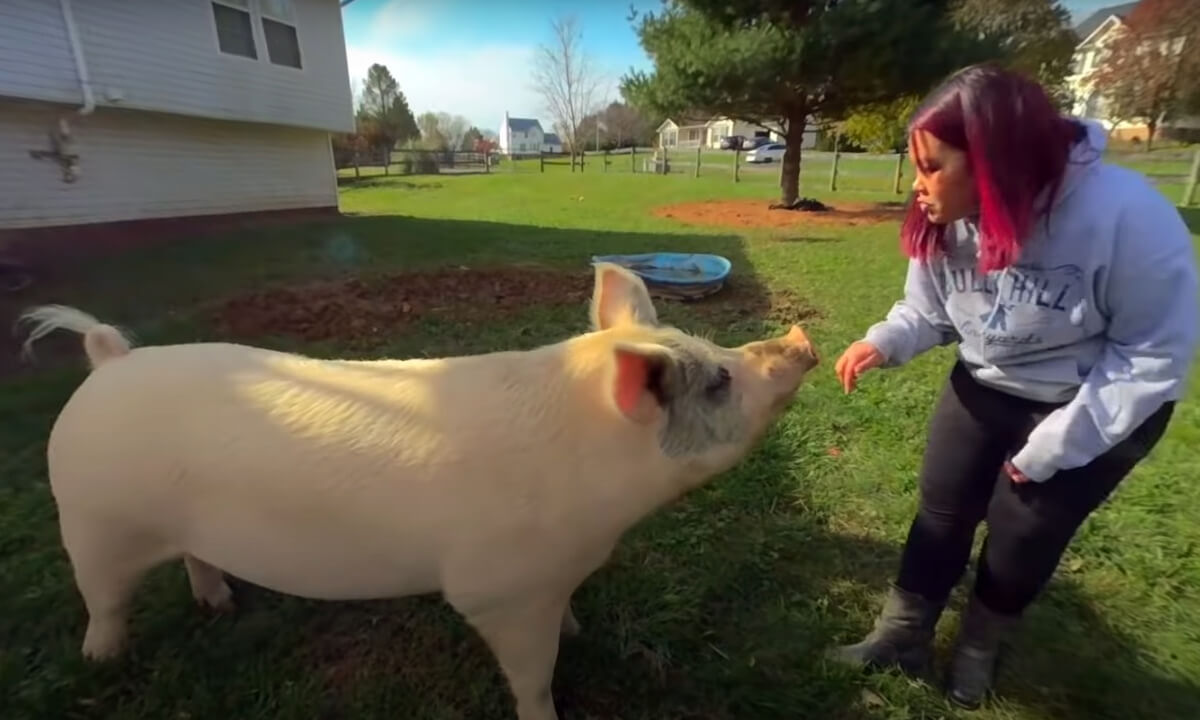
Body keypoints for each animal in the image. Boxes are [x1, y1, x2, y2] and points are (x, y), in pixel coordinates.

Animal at [19, 261, 818, 720]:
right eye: (717, 382)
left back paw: (218, 607)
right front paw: (548, 702)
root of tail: (109, 363)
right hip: (89, 520)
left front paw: (577, 631)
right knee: (104, 600)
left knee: (196, 560)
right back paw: (101, 662)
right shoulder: (498, 590)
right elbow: (532, 676)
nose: (800, 342)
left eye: (713, 353)